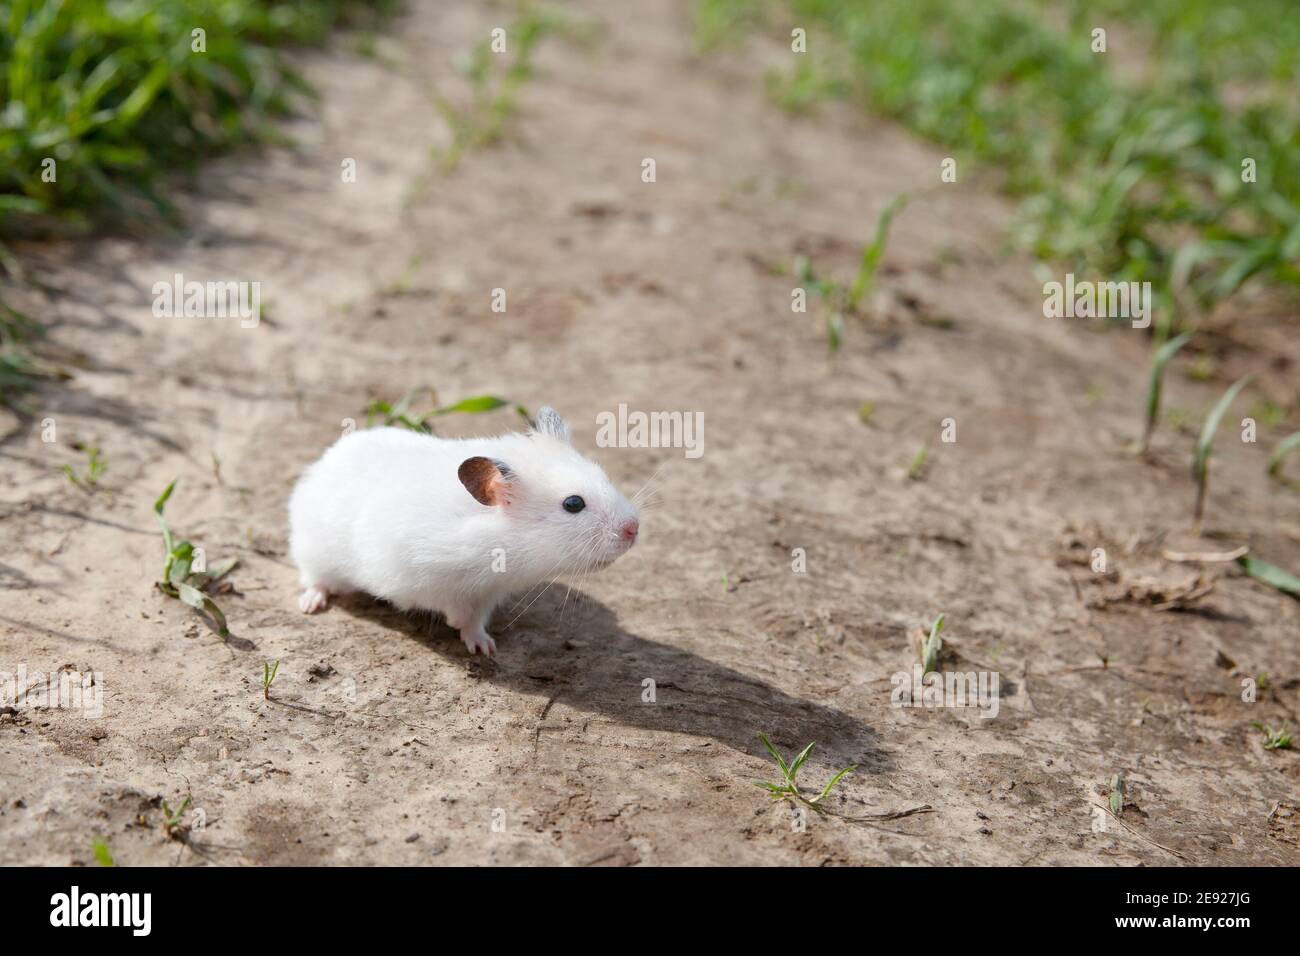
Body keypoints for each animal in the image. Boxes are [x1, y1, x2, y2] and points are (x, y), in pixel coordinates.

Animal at [288, 406, 639, 656]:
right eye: (573, 503)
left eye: (604, 476)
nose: (634, 528)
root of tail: (325, 460)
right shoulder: (420, 575)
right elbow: (451, 606)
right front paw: (458, 625)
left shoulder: (488, 593)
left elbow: (476, 619)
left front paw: (485, 648)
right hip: (314, 552)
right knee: (314, 580)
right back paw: (310, 605)